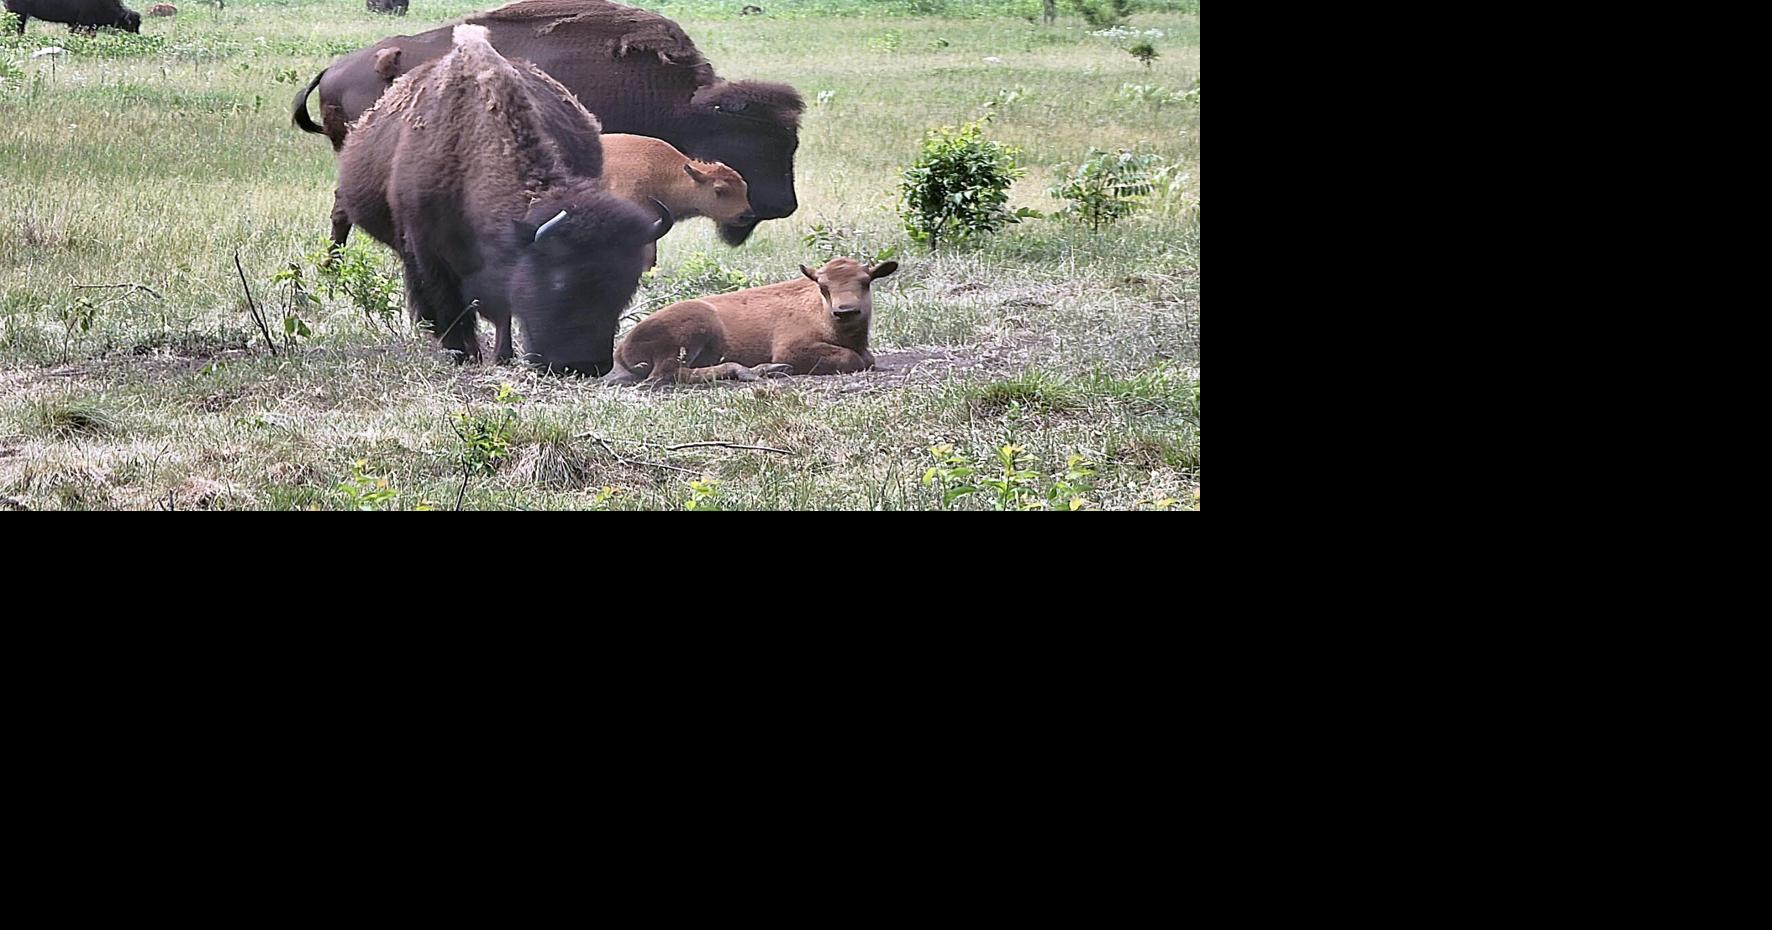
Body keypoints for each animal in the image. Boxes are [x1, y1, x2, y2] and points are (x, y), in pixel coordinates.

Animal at [335, 23, 672, 373]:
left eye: (625, 286)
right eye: (558, 280)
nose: (584, 364)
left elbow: (502, 311)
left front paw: (501, 355)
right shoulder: (429, 251)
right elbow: (451, 303)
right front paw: (463, 353)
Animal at [606, 257, 898, 386]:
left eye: (865, 282)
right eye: (823, 286)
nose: (846, 310)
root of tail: (621, 347)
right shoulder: (791, 348)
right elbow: (854, 359)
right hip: (696, 326)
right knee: (667, 373)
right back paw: (754, 370)